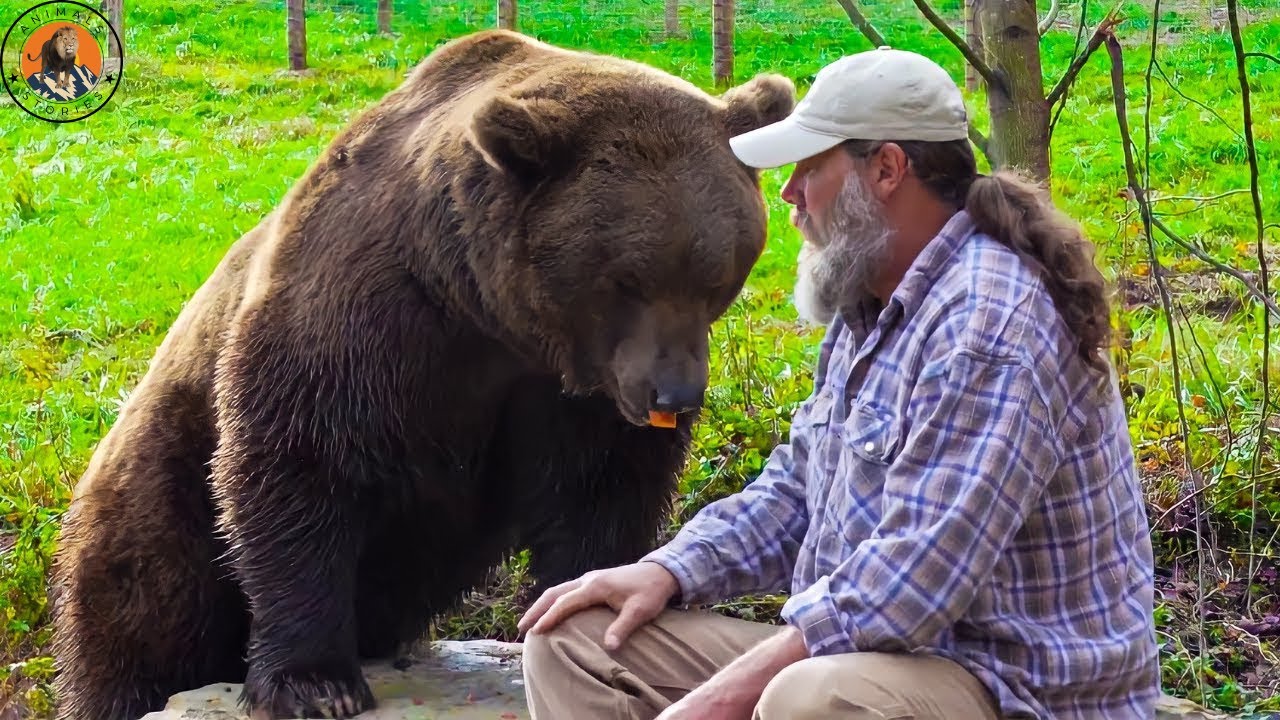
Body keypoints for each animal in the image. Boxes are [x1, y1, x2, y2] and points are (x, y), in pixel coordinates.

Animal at [48, 28, 795, 720]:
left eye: (721, 277)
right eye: (627, 279)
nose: (676, 394)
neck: (486, 308)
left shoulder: (568, 387)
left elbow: (601, 486)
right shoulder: (368, 321)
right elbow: (302, 467)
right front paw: (316, 683)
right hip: (159, 482)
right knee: (149, 616)